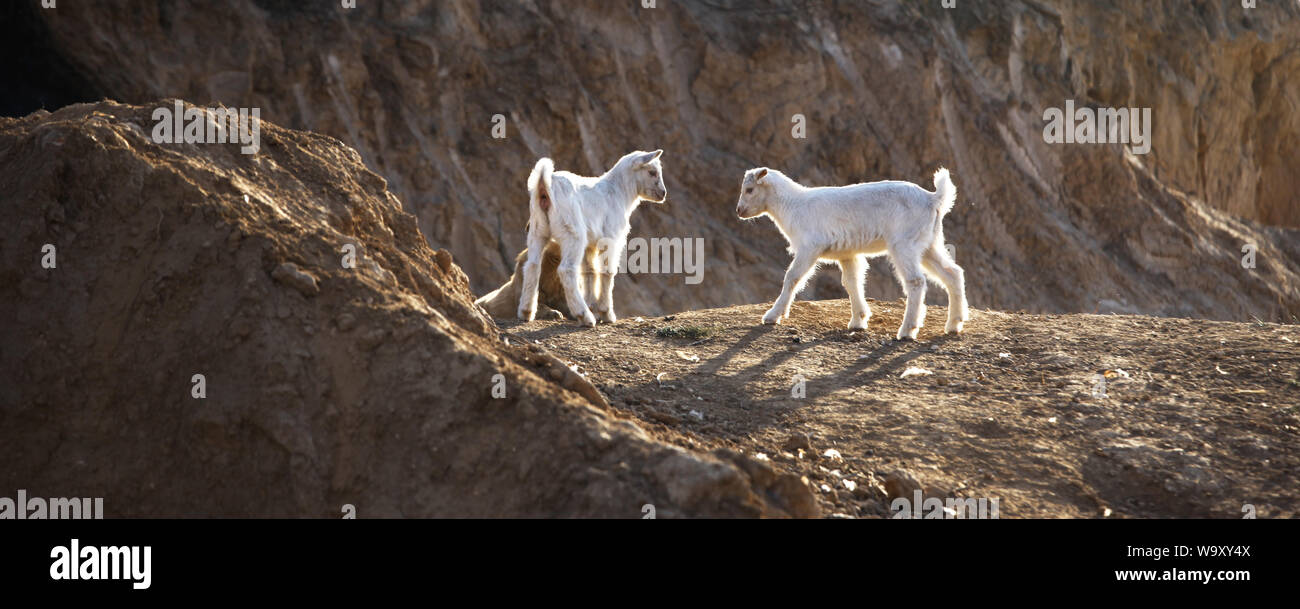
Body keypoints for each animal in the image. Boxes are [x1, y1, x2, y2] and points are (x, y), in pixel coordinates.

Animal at [518, 150, 667, 327]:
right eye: (652, 172)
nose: (663, 193)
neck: (619, 192)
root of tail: (544, 185)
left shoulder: (590, 244)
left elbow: (589, 271)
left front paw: (593, 307)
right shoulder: (611, 238)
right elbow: (607, 271)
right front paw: (606, 313)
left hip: (537, 230)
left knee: (532, 266)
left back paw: (526, 312)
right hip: (573, 233)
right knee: (566, 269)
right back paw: (584, 316)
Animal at [735, 166, 968, 340]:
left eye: (749, 189)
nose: (739, 211)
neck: (792, 205)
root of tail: (934, 198)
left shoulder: (810, 247)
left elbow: (792, 277)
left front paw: (772, 316)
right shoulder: (847, 254)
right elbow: (851, 281)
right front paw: (858, 321)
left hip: (904, 245)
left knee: (916, 281)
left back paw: (907, 331)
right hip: (929, 244)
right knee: (953, 273)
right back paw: (954, 325)